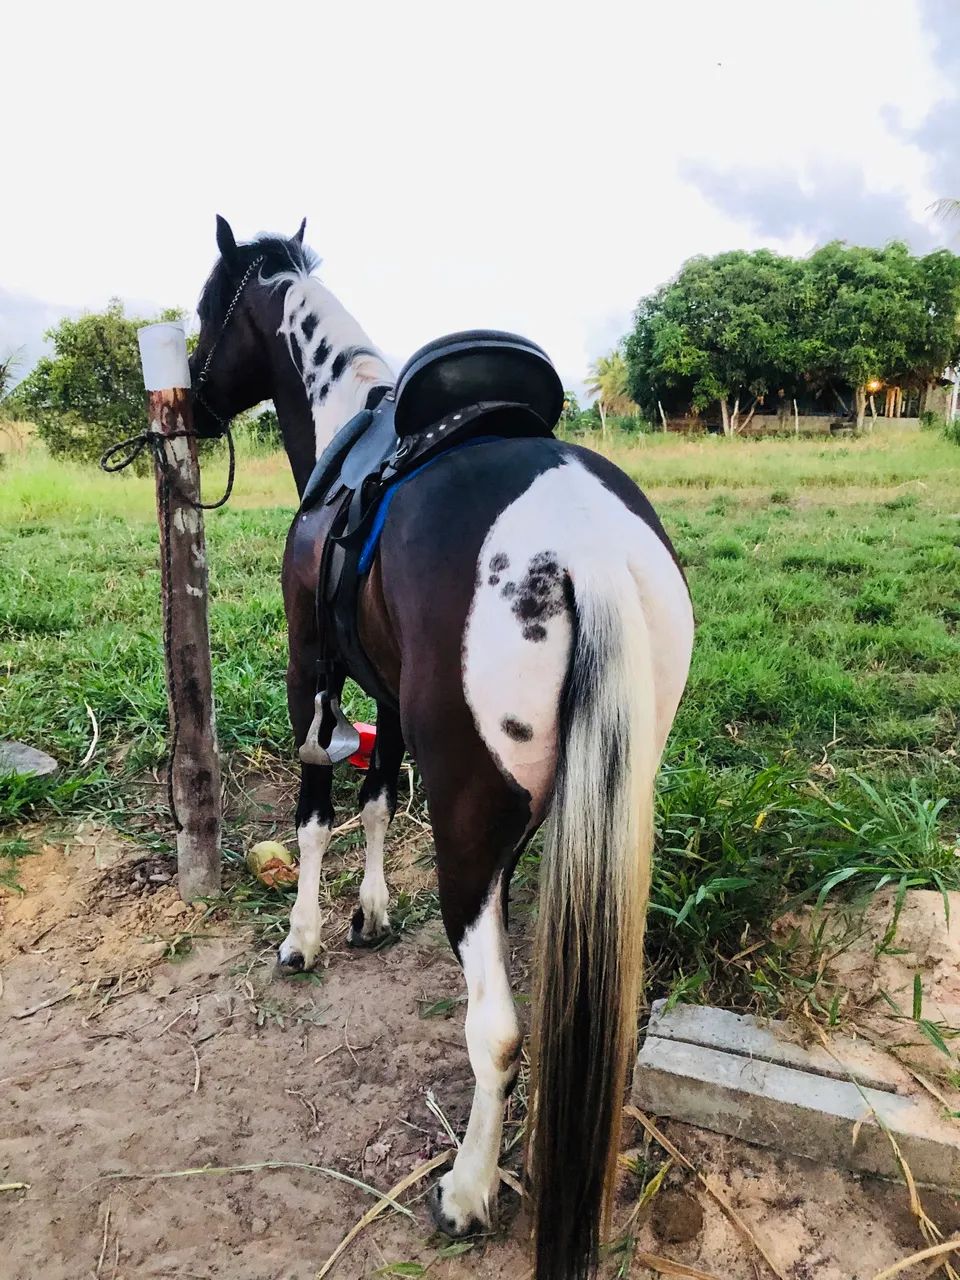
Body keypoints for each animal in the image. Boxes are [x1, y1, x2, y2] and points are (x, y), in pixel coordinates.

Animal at [189, 215, 694, 1280]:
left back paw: (467, 1190)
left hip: (473, 840)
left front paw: (304, 936)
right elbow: (379, 793)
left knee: (497, 1031)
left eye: (212, 304)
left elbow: (315, 812)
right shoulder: (384, 689)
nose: (196, 406)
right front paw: (373, 912)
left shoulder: (312, 665)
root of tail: (581, 544)